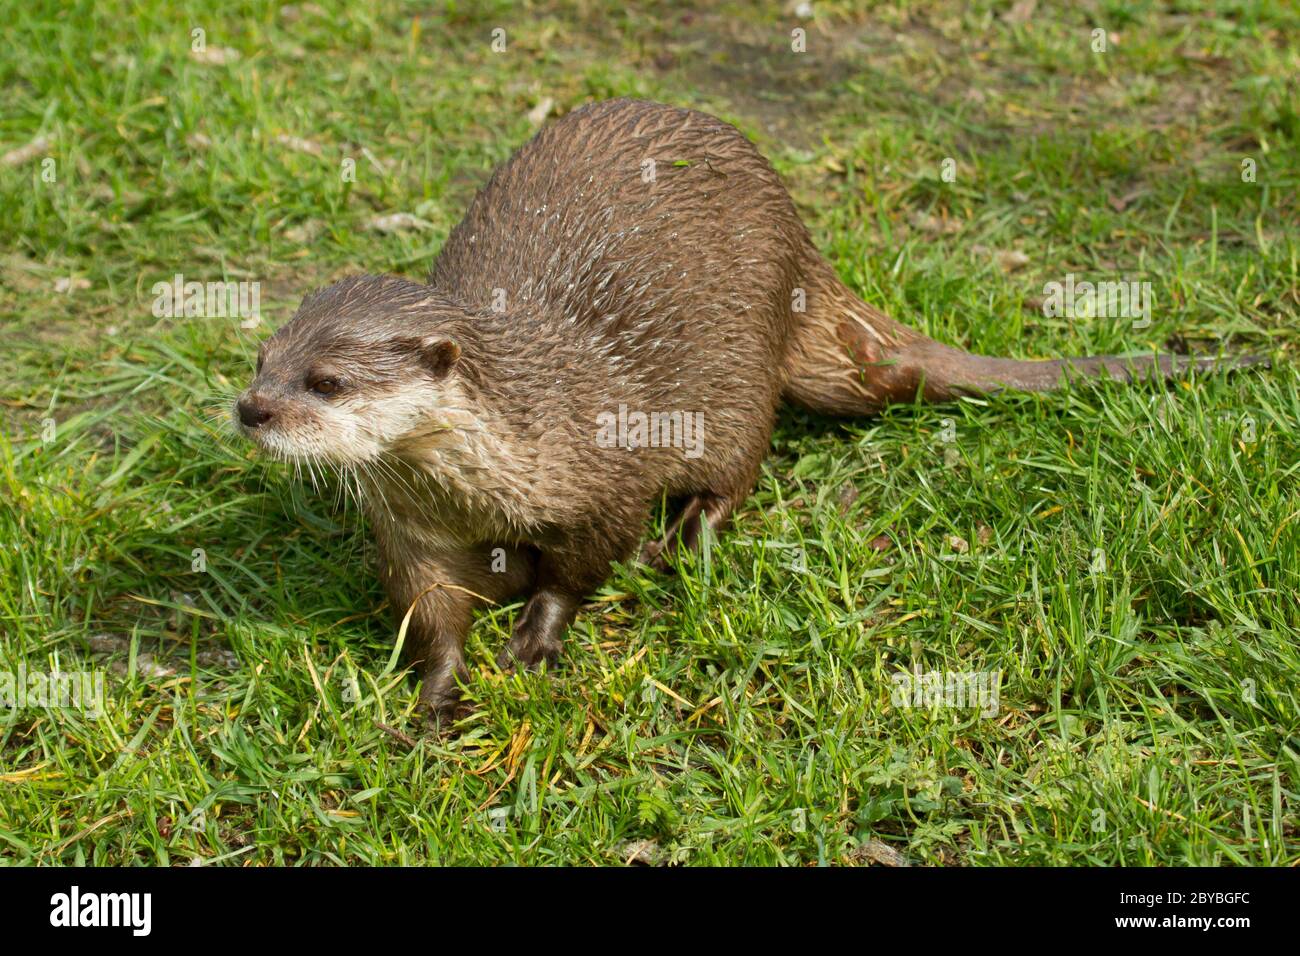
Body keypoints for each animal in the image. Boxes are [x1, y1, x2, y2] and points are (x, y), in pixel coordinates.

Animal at [235, 98, 1257, 723]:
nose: (252, 411)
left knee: (742, 461)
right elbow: (430, 612)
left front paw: (537, 639)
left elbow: (581, 566)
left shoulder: (605, 475)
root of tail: (802, 242)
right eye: (260, 359)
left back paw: (687, 538)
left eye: (325, 381)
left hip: (736, 372)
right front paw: (439, 698)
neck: (502, 465)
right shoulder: (411, 529)